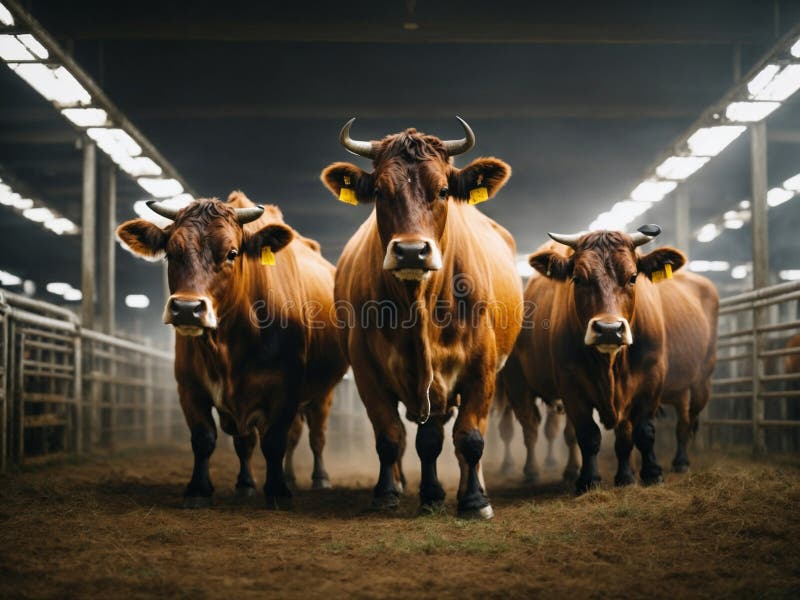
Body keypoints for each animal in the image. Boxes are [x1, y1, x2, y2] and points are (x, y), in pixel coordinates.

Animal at [116, 192, 347, 508]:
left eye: (232, 253)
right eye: (171, 253)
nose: (186, 308)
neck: (228, 347)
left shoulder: (285, 390)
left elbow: (274, 441)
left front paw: (277, 491)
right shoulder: (190, 387)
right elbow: (207, 439)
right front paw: (203, 489)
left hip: (323, 392)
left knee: (315, 436)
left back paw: (319, 478)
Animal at [321, 118, 523, 519]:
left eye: (443, 190)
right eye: (379, 191)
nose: (412, 251)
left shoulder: (482, 367)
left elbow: (470, 438)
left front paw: (474, 500)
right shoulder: (366, 369)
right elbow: (390, 436)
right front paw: (391, 493)